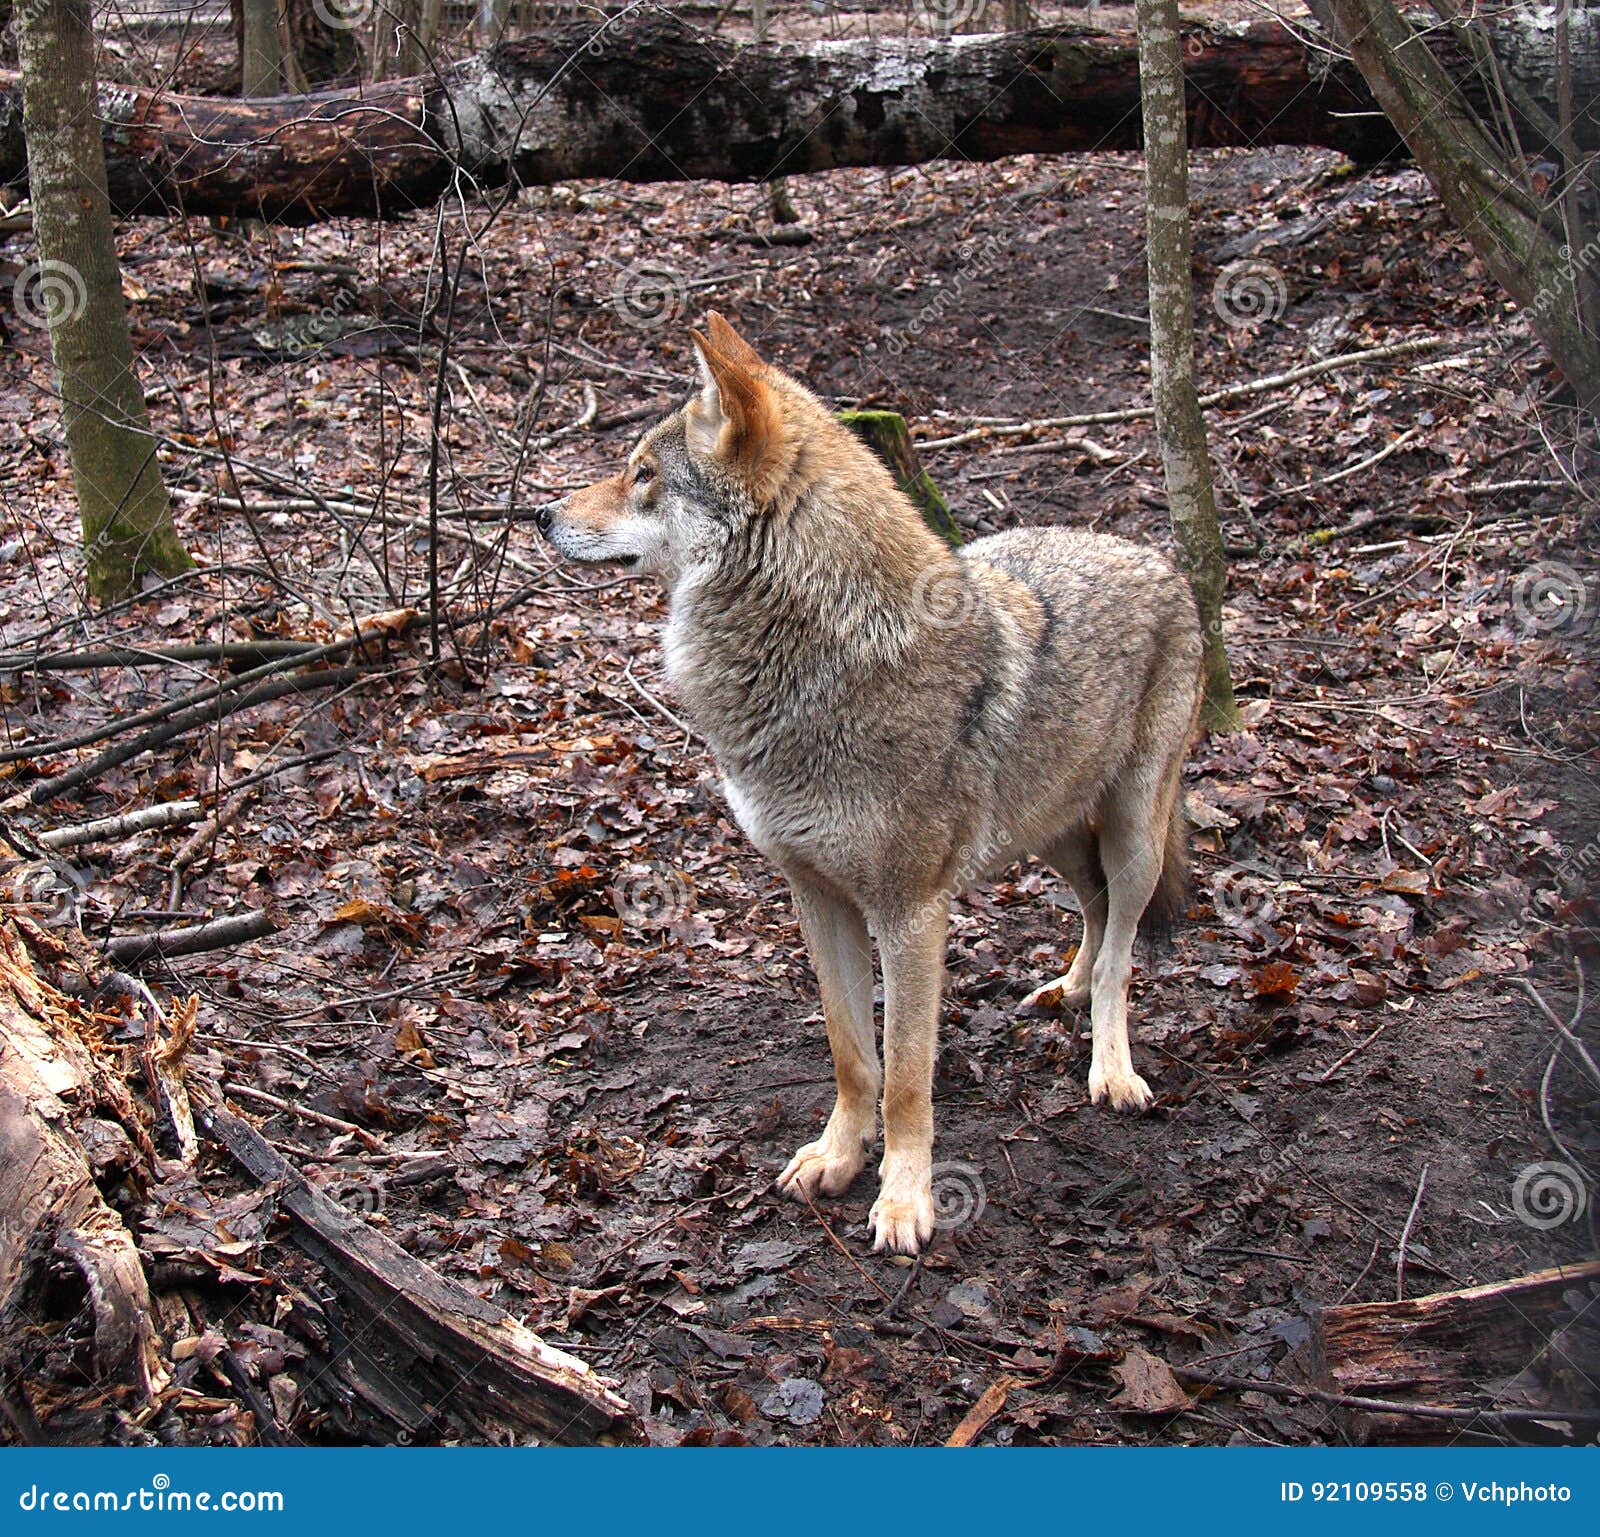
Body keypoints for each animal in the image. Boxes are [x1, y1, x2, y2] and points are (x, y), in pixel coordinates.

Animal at [536, 314, 1202, 1255]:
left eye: (642, 475)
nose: (539, 513)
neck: (813, 658)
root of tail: (1154, 555)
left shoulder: (911, 911)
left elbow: (908, 1075)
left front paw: (904, 1200)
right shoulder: (814, 893)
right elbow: (854, 1054)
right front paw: (837, 1159)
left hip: (1134, 832)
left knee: (1123, 951)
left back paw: (1111, 1067)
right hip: (1051, 835)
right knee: (1098, 912)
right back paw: (1063, 989)